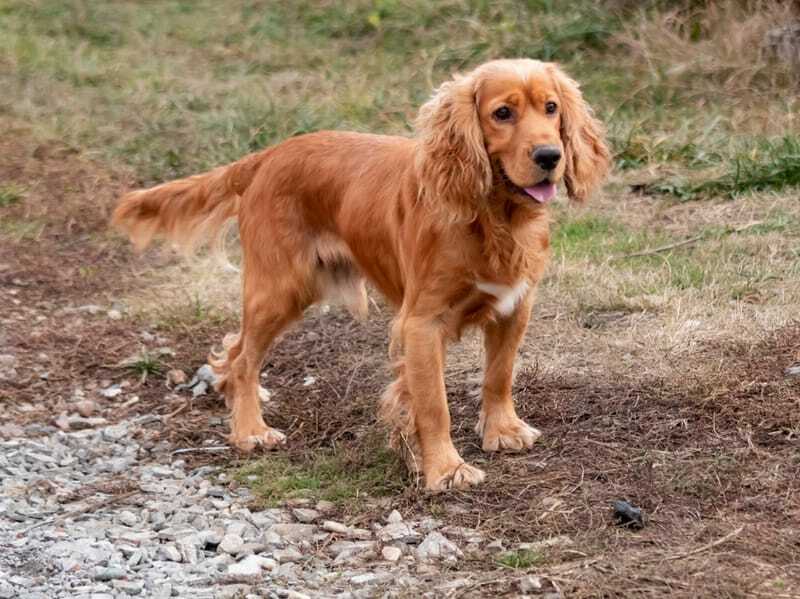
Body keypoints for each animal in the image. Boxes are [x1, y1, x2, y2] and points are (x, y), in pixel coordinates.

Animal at [112, 59, 608, 492]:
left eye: (551, 108)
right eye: (502, 113)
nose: (550, 155)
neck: (493, 218)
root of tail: (269, 154)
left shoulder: (514, 307)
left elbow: (499, 375)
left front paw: (501, 430)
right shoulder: (422, 323)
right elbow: (434, 404)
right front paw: (445, 469)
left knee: (234, 351)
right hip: (281, 289)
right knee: (242, 358)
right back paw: (250, 428)